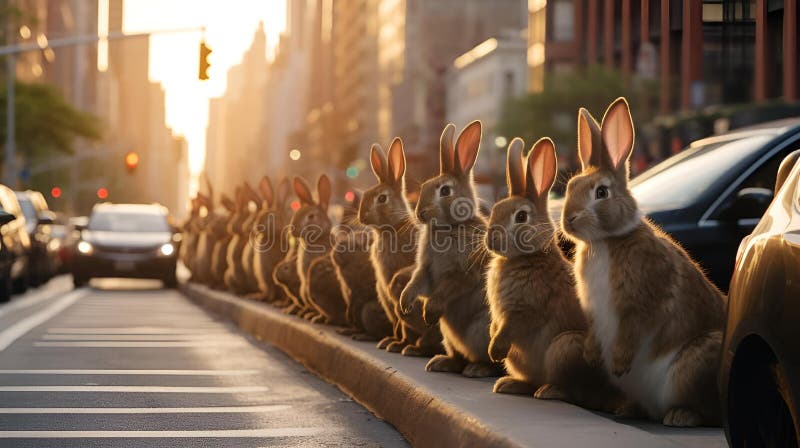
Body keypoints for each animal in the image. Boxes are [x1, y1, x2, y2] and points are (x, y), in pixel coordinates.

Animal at [399, 121, 501, 378]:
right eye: (424, 186)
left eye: (445, 191)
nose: (420, 213)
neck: (450, 226)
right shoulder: (426, 268)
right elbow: (418, 281)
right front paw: (405, 304)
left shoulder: (464, 271)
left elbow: (451, 285)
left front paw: (429, 309)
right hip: (447, 335)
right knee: (458, 357)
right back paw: (441, 363)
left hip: (482, 331)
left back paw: (478, 369)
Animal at [485, 137, 622, 411]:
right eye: (495, 209)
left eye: (521, 216)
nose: (491, 239)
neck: (525, 257)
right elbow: (497, 325)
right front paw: (491, 343)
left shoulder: (525, 309)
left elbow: (511, 326)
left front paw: (494, 350)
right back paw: (509, 384)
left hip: (565, 348)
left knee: (576, 392)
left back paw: (550, 391)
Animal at [561, 98, 726, 427]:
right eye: (571, 185)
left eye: (601, 192)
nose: (568, 219)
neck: (606, 240)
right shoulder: (593, 309)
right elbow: (595, 330)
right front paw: (591, 356)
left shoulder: (641, 301)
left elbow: (632, 329)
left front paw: (619, 363)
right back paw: (630, 409)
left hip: (693, 366)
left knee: (708, 411)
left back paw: (680, 416)